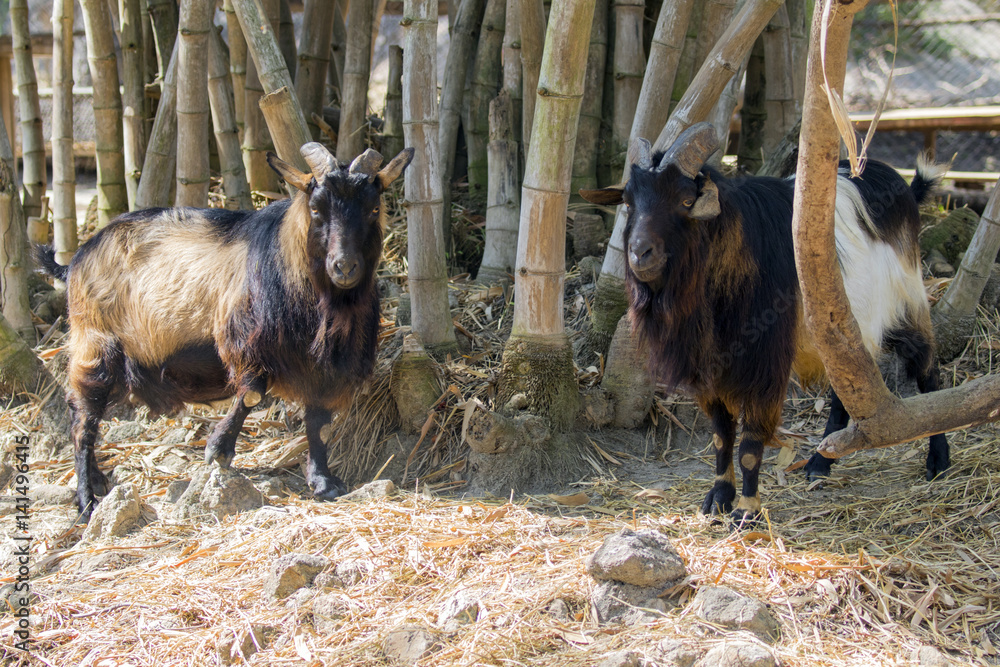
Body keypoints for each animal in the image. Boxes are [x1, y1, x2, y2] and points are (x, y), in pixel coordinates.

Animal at [34, 143, 414, 520]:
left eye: (374, 208)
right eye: (316, 208)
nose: (344, 267)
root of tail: (77, 258)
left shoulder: (326, 366)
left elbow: (318, 421)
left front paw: (323, 482)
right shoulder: (244, 339)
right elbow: (252, 394)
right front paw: (219, 449)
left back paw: (98, 482)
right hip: (94, 343)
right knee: (82, 420)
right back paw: (87, 501)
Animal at [580, 122, 947, 526]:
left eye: (686, 200)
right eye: (629, 201)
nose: (639, 253)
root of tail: (903, 187)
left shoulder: (765, 365)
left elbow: (750, 446)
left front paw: (747, 511)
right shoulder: (712, 366)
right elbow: (721, 437)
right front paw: (718, 499)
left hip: (907, 302)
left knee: (928, 370)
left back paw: (938, 461)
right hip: (842, 333)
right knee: (843, 393)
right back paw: (819, 464)